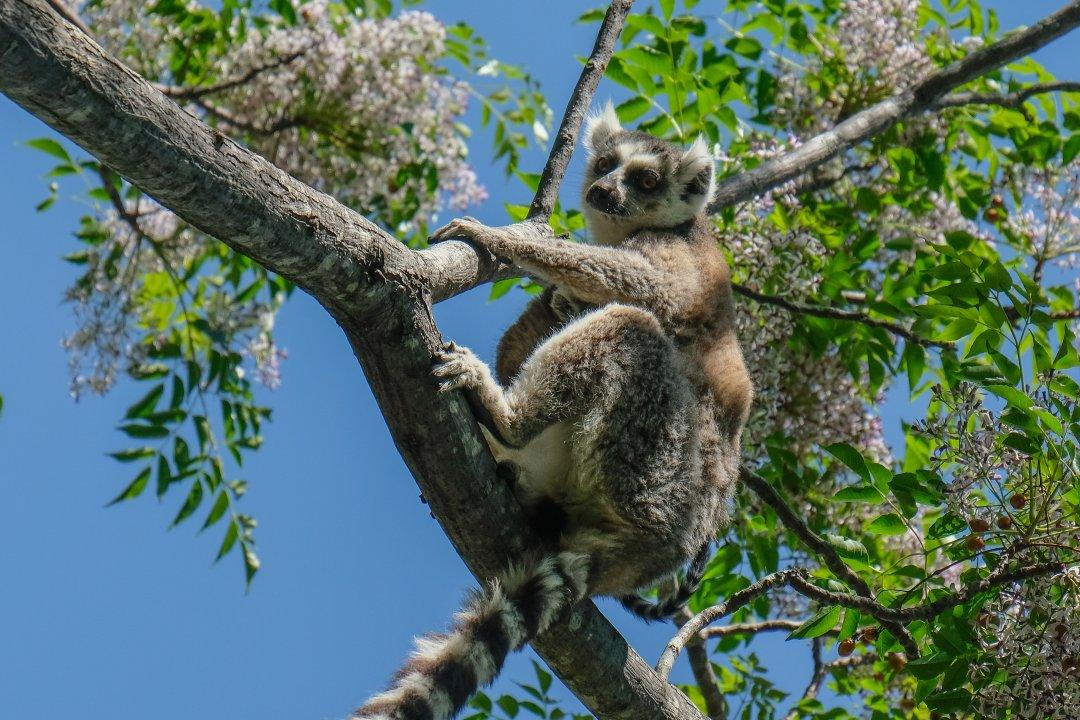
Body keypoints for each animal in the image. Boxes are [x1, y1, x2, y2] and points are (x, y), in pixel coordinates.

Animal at [352, 103, 752, 720]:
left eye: (645, 180)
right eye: (608, 164)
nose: (605, 189)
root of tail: (659, 549)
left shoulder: (677, 255)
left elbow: (646, 288)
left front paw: (488, 236)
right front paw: (554, 296)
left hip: (651, 462)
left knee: (630, 327)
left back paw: (505, 418)